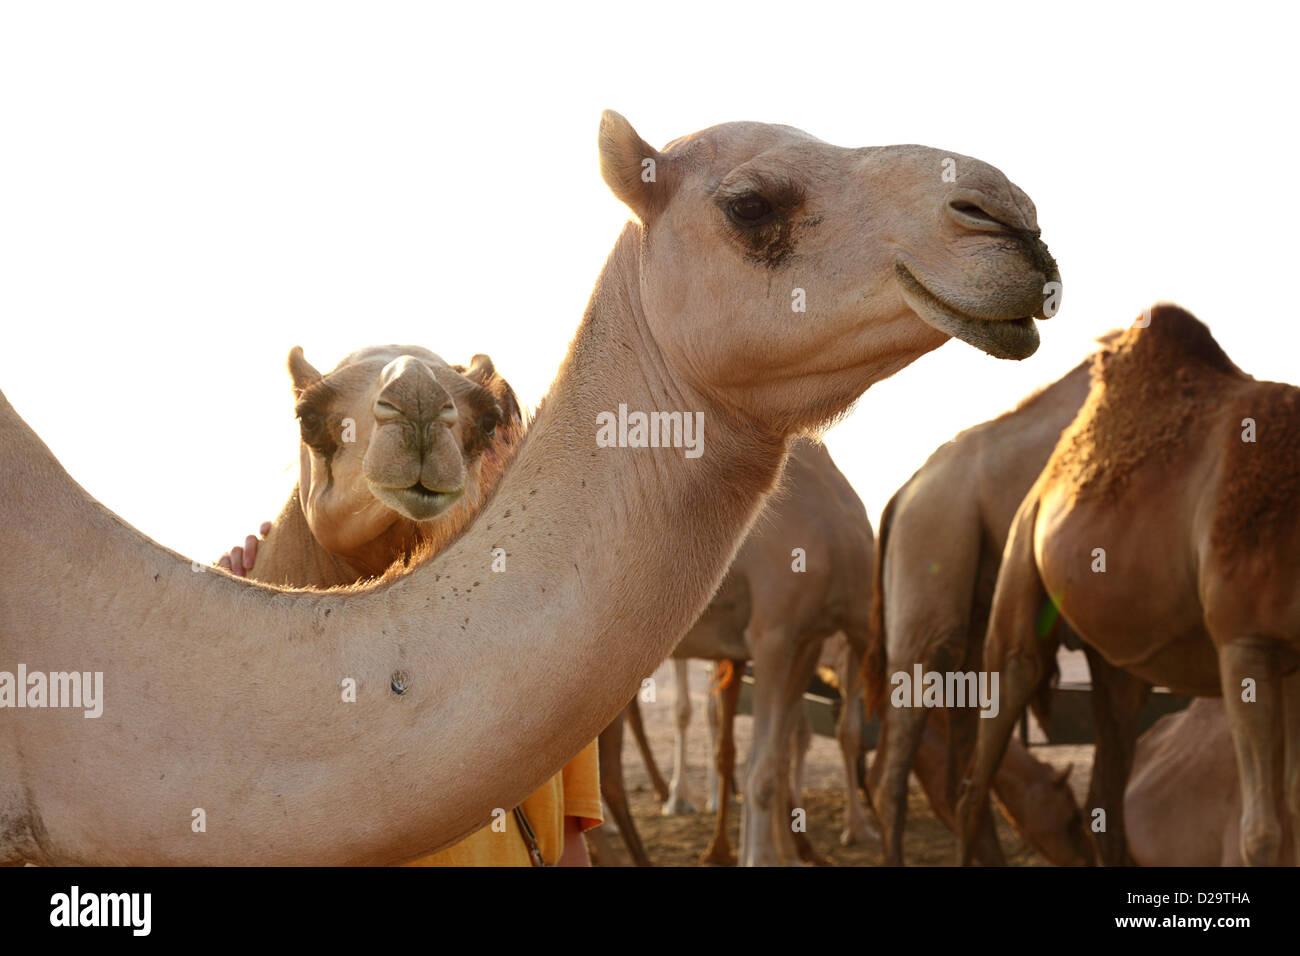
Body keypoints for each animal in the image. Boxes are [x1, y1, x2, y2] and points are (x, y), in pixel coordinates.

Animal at [864, 354, 1099, 865]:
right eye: (1070, 818)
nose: (1081, 854)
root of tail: (902, 494)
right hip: (933, 545)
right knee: (894, 774)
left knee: (961, 774)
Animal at [956, 305, 1300, 867]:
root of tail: (1046, 483)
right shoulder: (1243, 641)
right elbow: (1262, 832)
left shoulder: (1292, 655)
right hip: (1019, 563)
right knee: (995, 724)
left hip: (1115, 662)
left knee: (1106, 795)